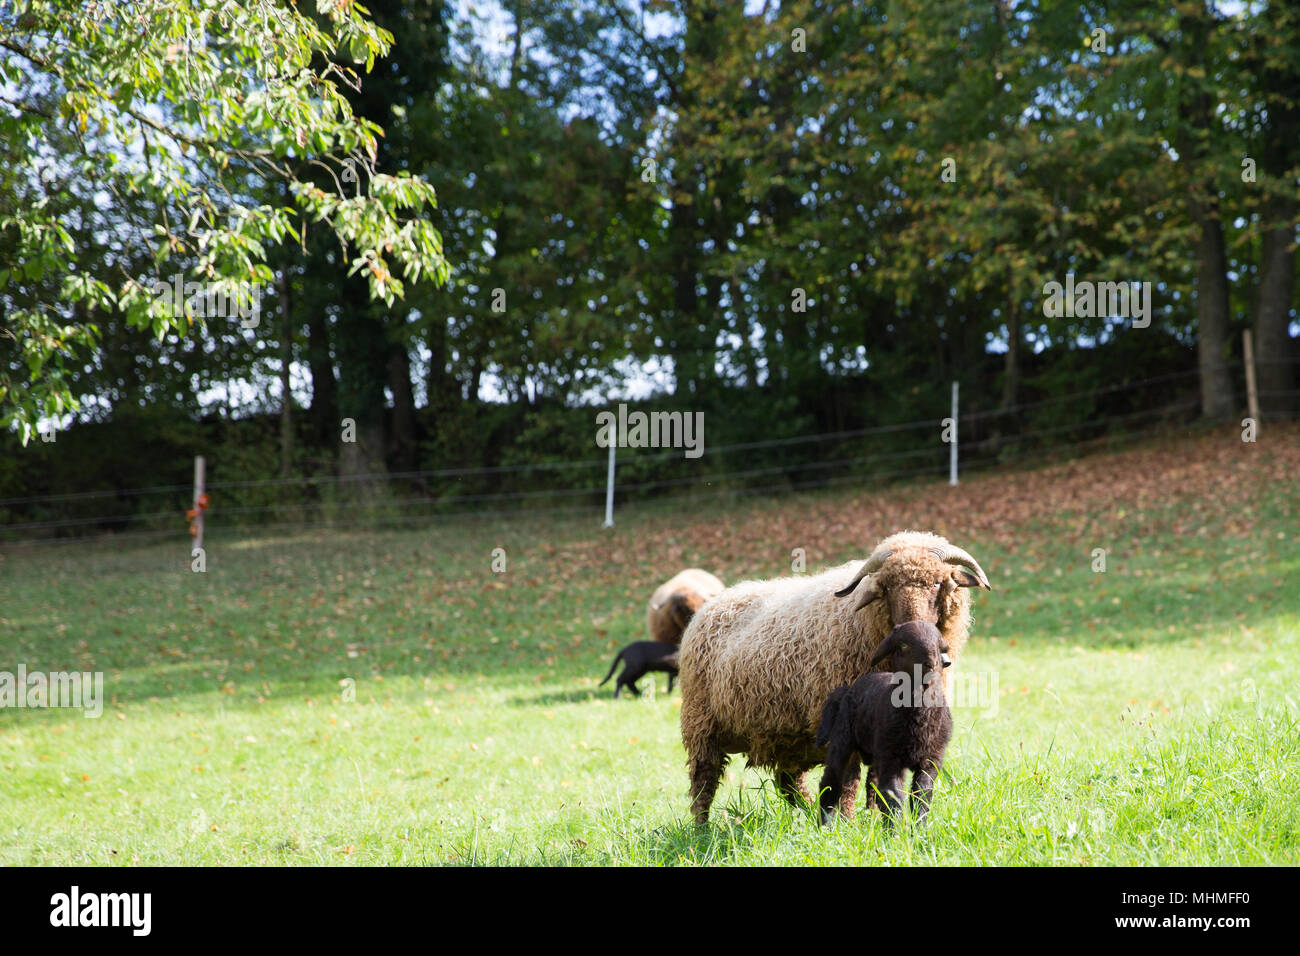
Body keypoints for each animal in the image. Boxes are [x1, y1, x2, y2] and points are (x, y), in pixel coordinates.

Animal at [815, 620, 953, 826]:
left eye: (937, 645)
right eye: (903, 645)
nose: (929, 664)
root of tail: (847, 690)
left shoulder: (931, 761)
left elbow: (921, 797)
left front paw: (919, 830)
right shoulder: (890, 759)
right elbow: (894, 796)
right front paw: (895, 831)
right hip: (842, 741)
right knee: (831, 782)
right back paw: (825, 825)